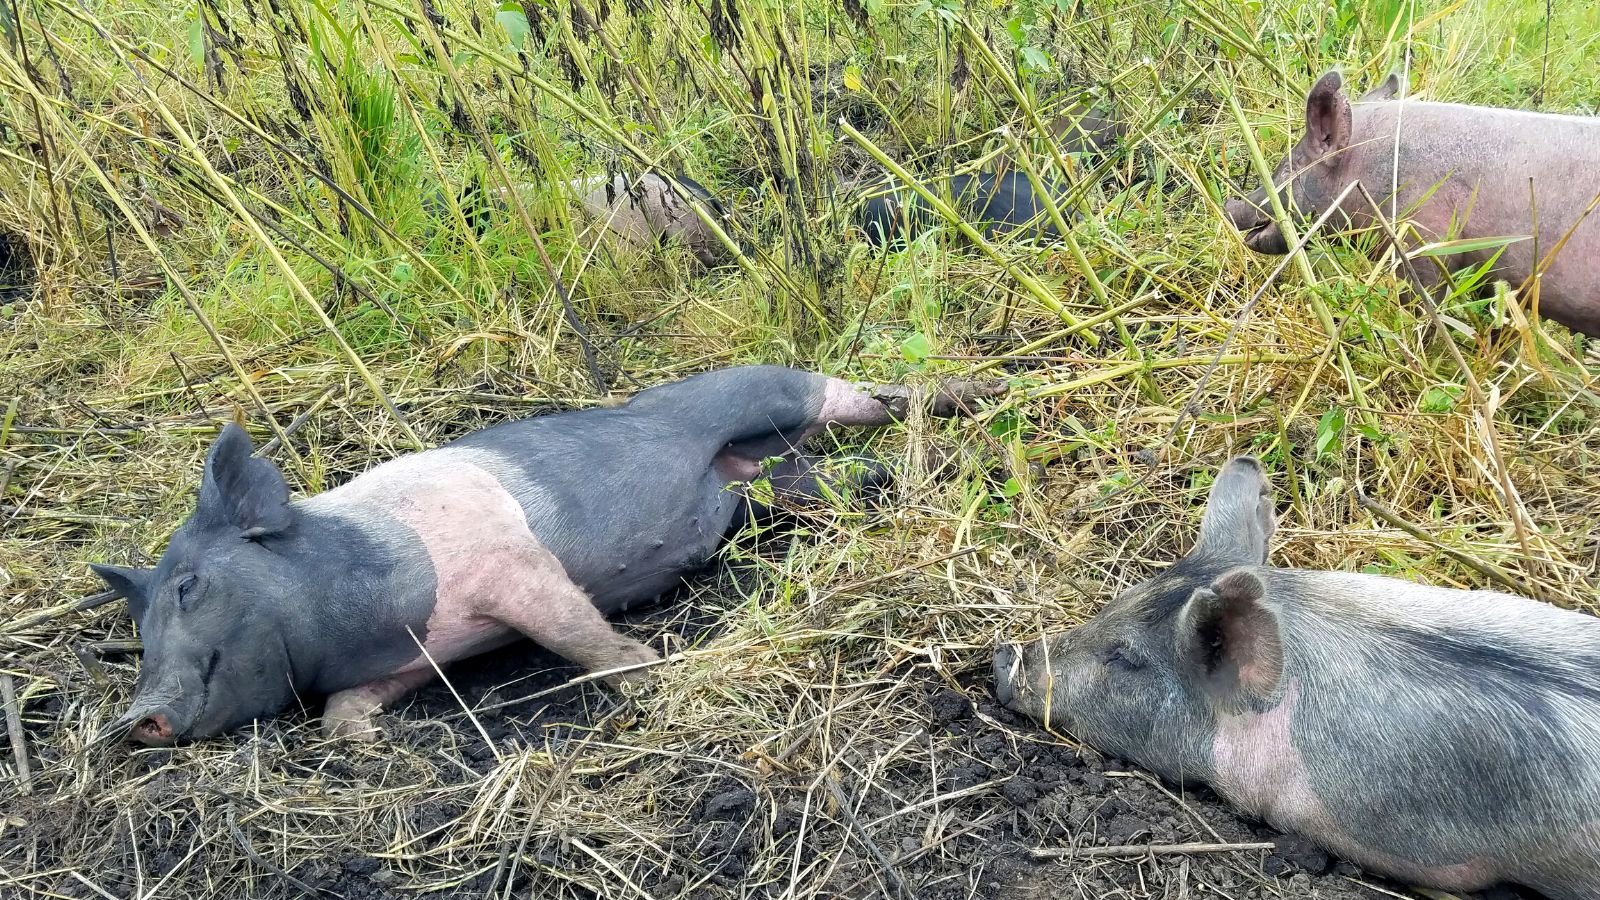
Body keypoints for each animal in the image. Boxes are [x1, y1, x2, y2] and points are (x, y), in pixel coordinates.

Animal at [90, 365, 1001, 745]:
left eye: (188, 586)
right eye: (137, 623)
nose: (135, 722)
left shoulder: (509, 561)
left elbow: (570, 629)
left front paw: (646, 673)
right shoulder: (413, 658)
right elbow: (345, 710)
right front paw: (365, 739)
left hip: (764, 391)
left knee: (858, 391)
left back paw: (978, 397)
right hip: (773, 484)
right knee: (826, 474)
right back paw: (898, 473)